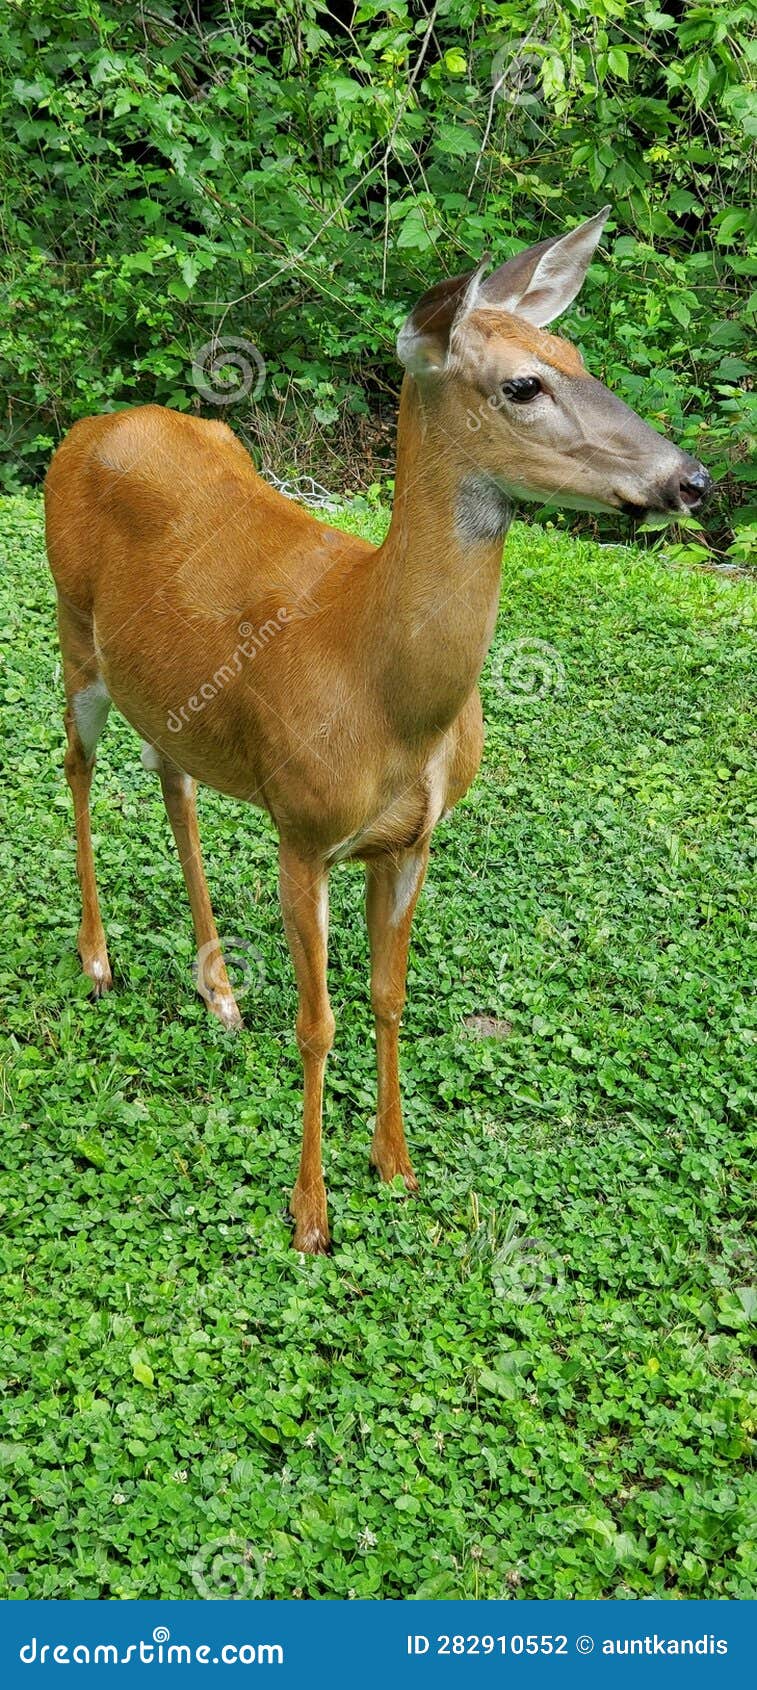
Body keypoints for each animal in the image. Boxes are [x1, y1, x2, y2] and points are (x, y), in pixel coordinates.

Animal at [45, 206, 711, 1252]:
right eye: (522, 385)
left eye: (575, 353)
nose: (692, 480)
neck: (384, 694)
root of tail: (91, 425)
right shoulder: (302, 827)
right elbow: (317, 1023)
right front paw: (310, 1216)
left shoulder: (410, 840)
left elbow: (388, 996)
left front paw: (394, 1168)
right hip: (74, 633)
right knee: (74, 764)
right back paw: (98, 959)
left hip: (170, 690)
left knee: (172, 775)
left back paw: (219, 989)